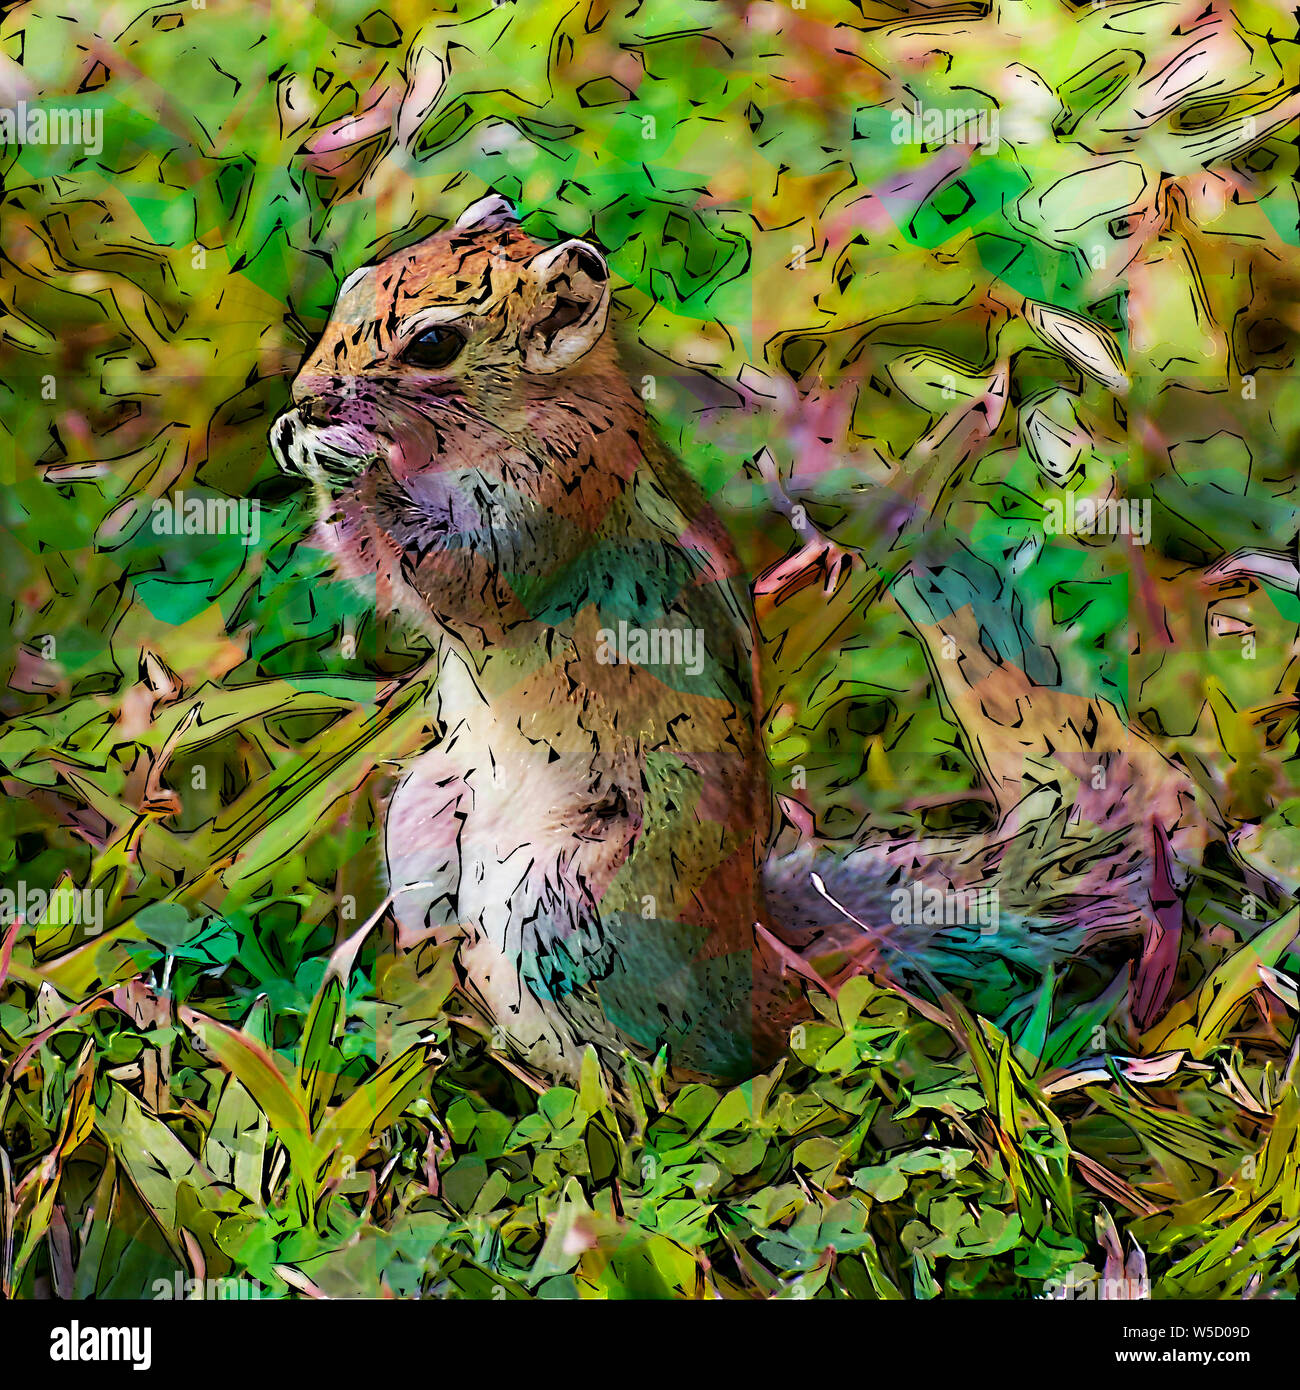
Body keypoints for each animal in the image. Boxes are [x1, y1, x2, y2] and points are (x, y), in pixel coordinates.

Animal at [269, 195, 1230, 1084]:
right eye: (355, 285)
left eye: (433, 344)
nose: (305, 398)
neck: (535, 413)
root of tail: (766, 960)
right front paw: (301, 441)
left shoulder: (541, 515)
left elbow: (449, 579)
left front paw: (348, 462)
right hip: (429, 809)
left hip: (565, 907)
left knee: (667, 1072)